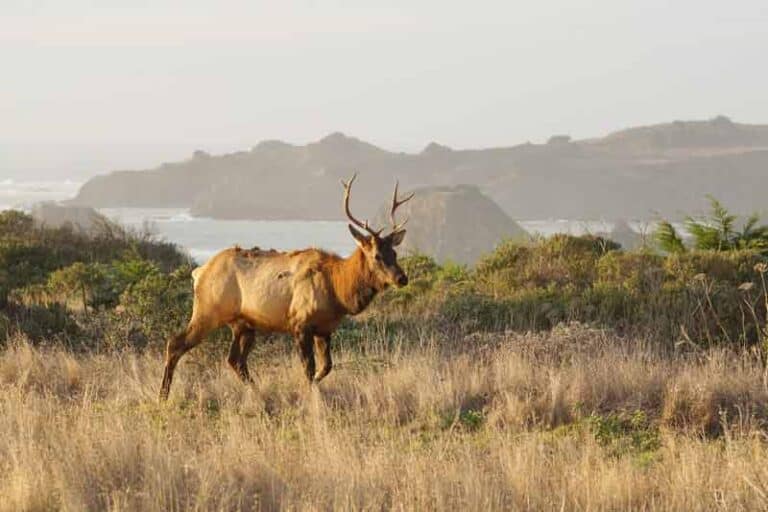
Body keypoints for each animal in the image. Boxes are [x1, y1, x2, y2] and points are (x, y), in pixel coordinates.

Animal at [159, 174, 414, 400]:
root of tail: (198, 272)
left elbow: (326, 367)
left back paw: (257, 393)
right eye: (377, 255)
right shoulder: (300, 323)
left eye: (394, 253)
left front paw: (313, 389)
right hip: (208, 310)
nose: (402, 278)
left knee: (234, 360)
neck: (338, 291)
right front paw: (310, 395)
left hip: (243, 324)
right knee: (175, 343)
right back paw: (163, 396)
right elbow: (309, 369)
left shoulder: (324, 329)